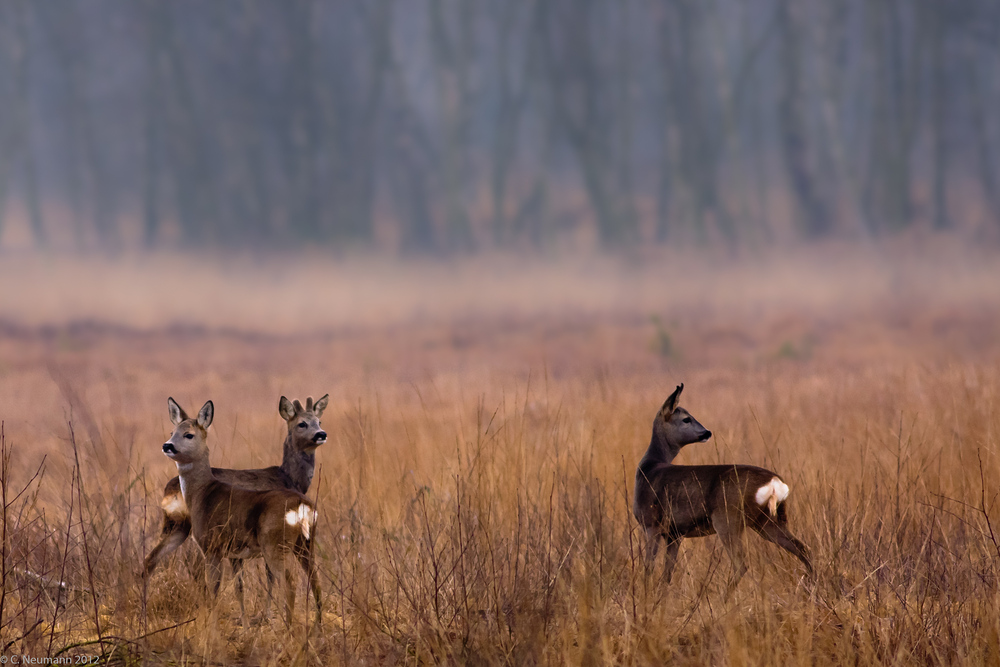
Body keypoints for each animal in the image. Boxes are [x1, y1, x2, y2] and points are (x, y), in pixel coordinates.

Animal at [144, 392, 328, 580]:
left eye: (319, 421)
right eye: (302, 423)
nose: (321, 434)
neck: (289, 477)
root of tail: (170, 489)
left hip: (176, 525)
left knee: (150, 559)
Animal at [160, 400, 322, 628]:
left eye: (189, 434)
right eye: (172, 432)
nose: (167, 445)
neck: (203, 493)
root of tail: (301, 504)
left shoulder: (212, 547)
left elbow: (214, 589)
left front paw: (213, 625)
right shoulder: (234, 553)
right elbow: (238, 587)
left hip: (274, 544)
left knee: (290, 580)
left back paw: (289, 627)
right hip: (305, 543)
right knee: (315, 579)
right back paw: (317, 625)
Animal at [632, 384, 812, 596]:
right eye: (686, 418)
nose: (707, 432)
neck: (649, 468)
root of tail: (775, 483)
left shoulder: (650, 524)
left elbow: (649, 568)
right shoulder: (674, 534)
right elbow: (667, 572)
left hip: (727, 519)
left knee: (741, 563)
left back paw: (722, 598)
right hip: (768, 521)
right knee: (804, 548)